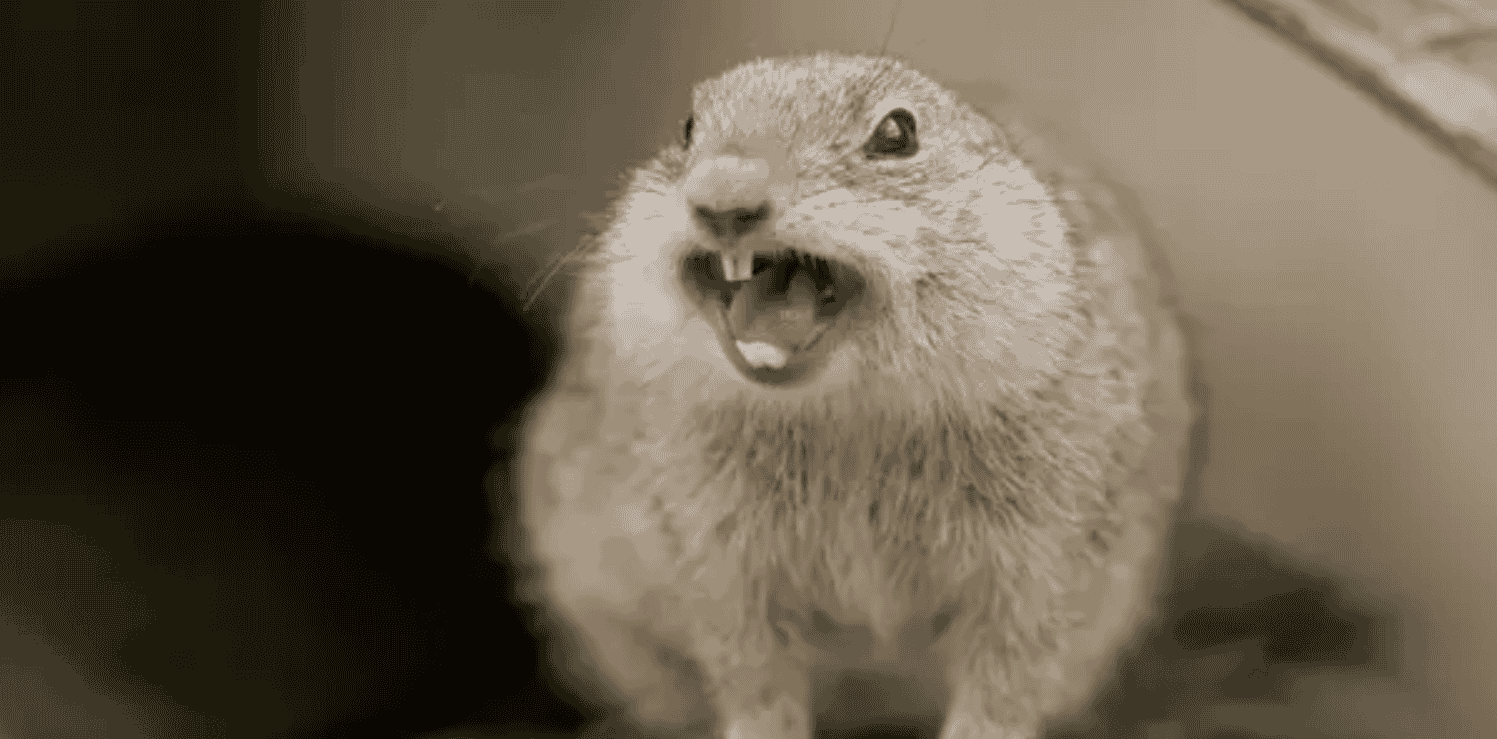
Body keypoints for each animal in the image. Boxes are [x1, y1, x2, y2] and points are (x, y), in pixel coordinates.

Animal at [511, 52, 1196, 739]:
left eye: (898, 132)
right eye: (687, 128)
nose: (723, 197)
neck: (847, 416)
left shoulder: (1045, 564)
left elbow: (1005, 685)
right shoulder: (717, 558)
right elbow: (755, 680)